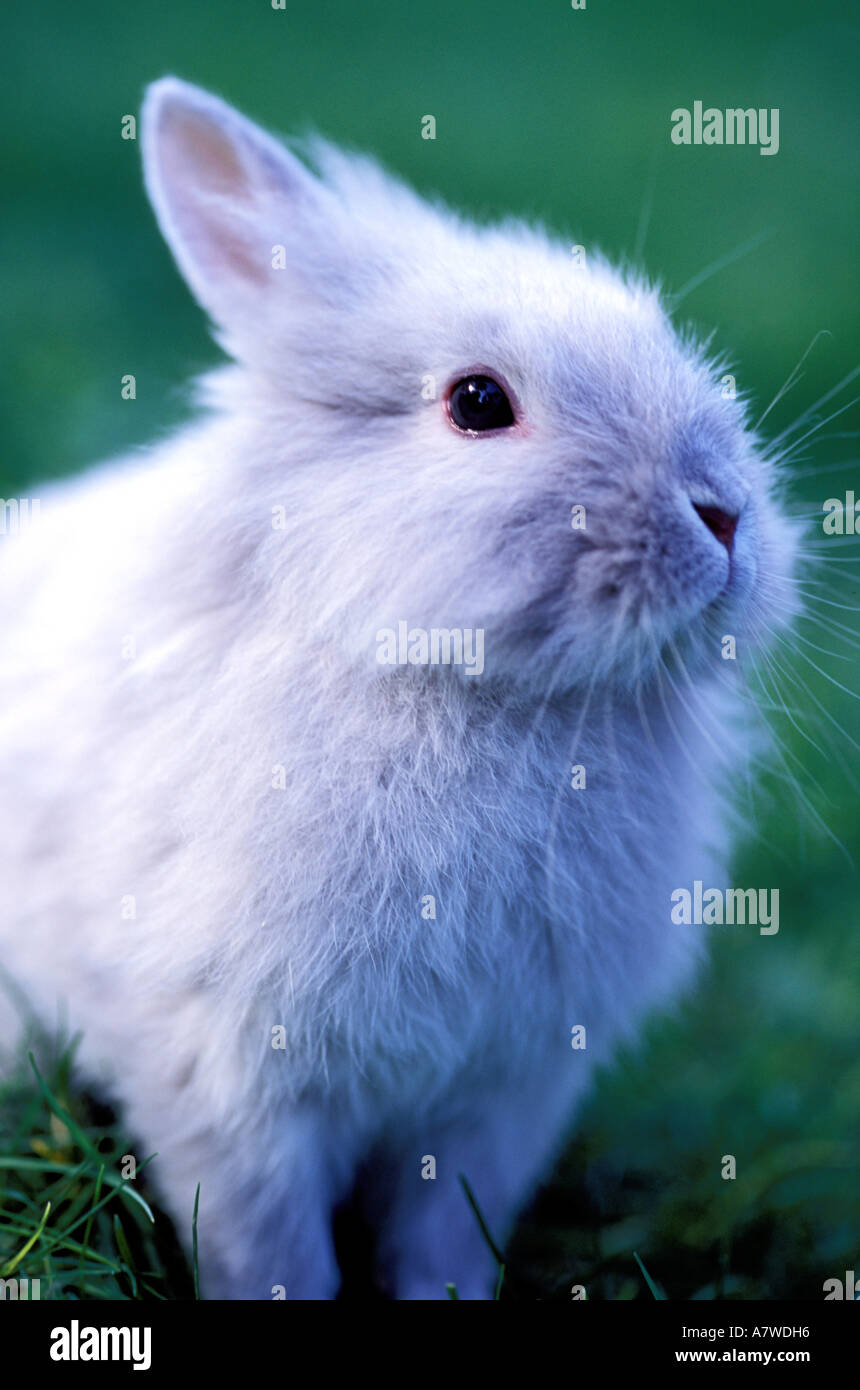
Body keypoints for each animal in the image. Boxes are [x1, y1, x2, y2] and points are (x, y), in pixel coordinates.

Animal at [0, 77, 798, 1300]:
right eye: (476, 402)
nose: (724, 516)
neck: (458, 687)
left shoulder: (496, 1096)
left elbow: (441, 1242)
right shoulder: (233, 1083)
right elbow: (267, 1244)